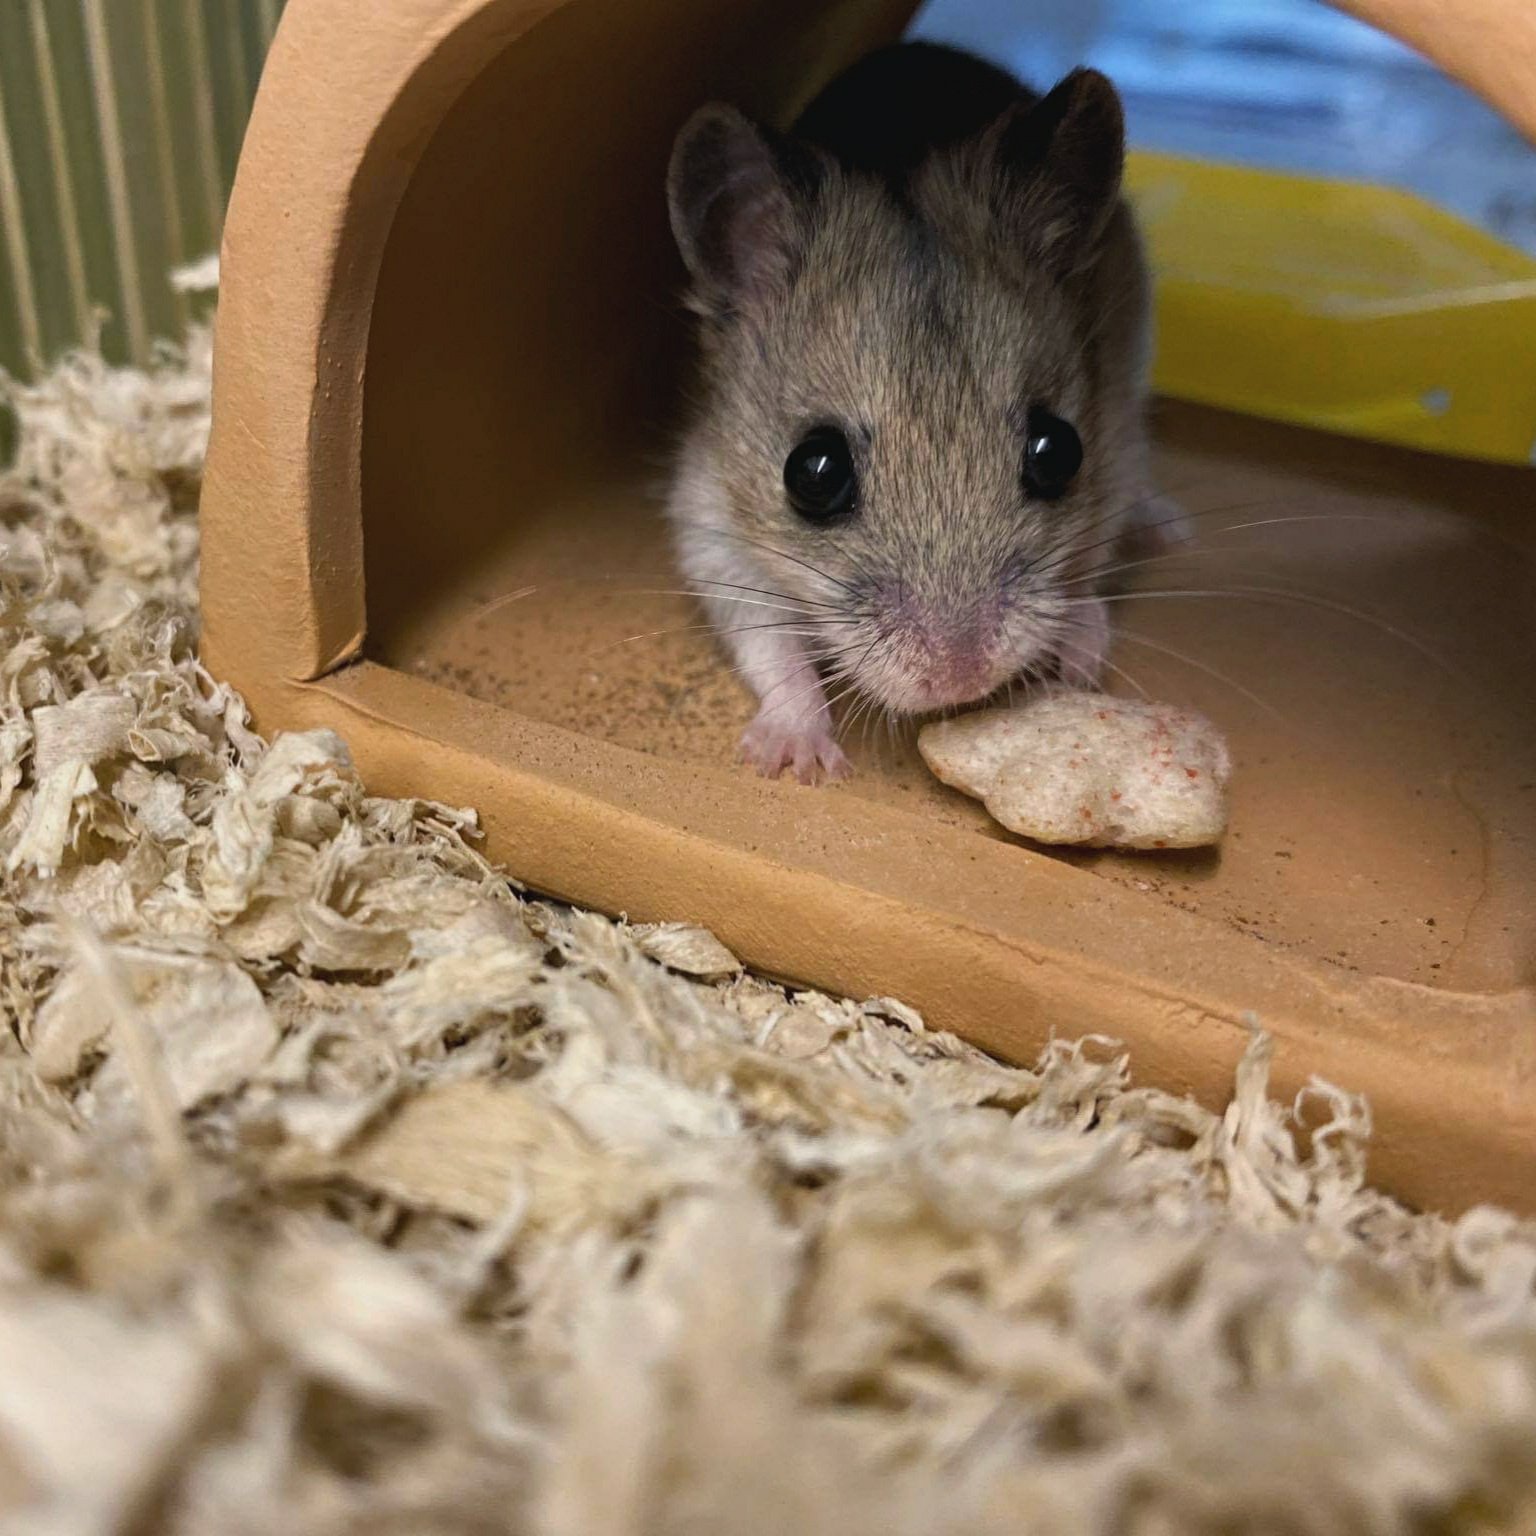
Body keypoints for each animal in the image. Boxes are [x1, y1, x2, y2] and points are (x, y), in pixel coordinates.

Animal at [664, 41, 1176, 783]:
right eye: (813, 472)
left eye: (1059, 451)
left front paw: (1075, 665)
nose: (963, 679)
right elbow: (772, 647)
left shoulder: (1114, 444)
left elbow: (1086, 573)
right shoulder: (710, 524)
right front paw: (796, 764)